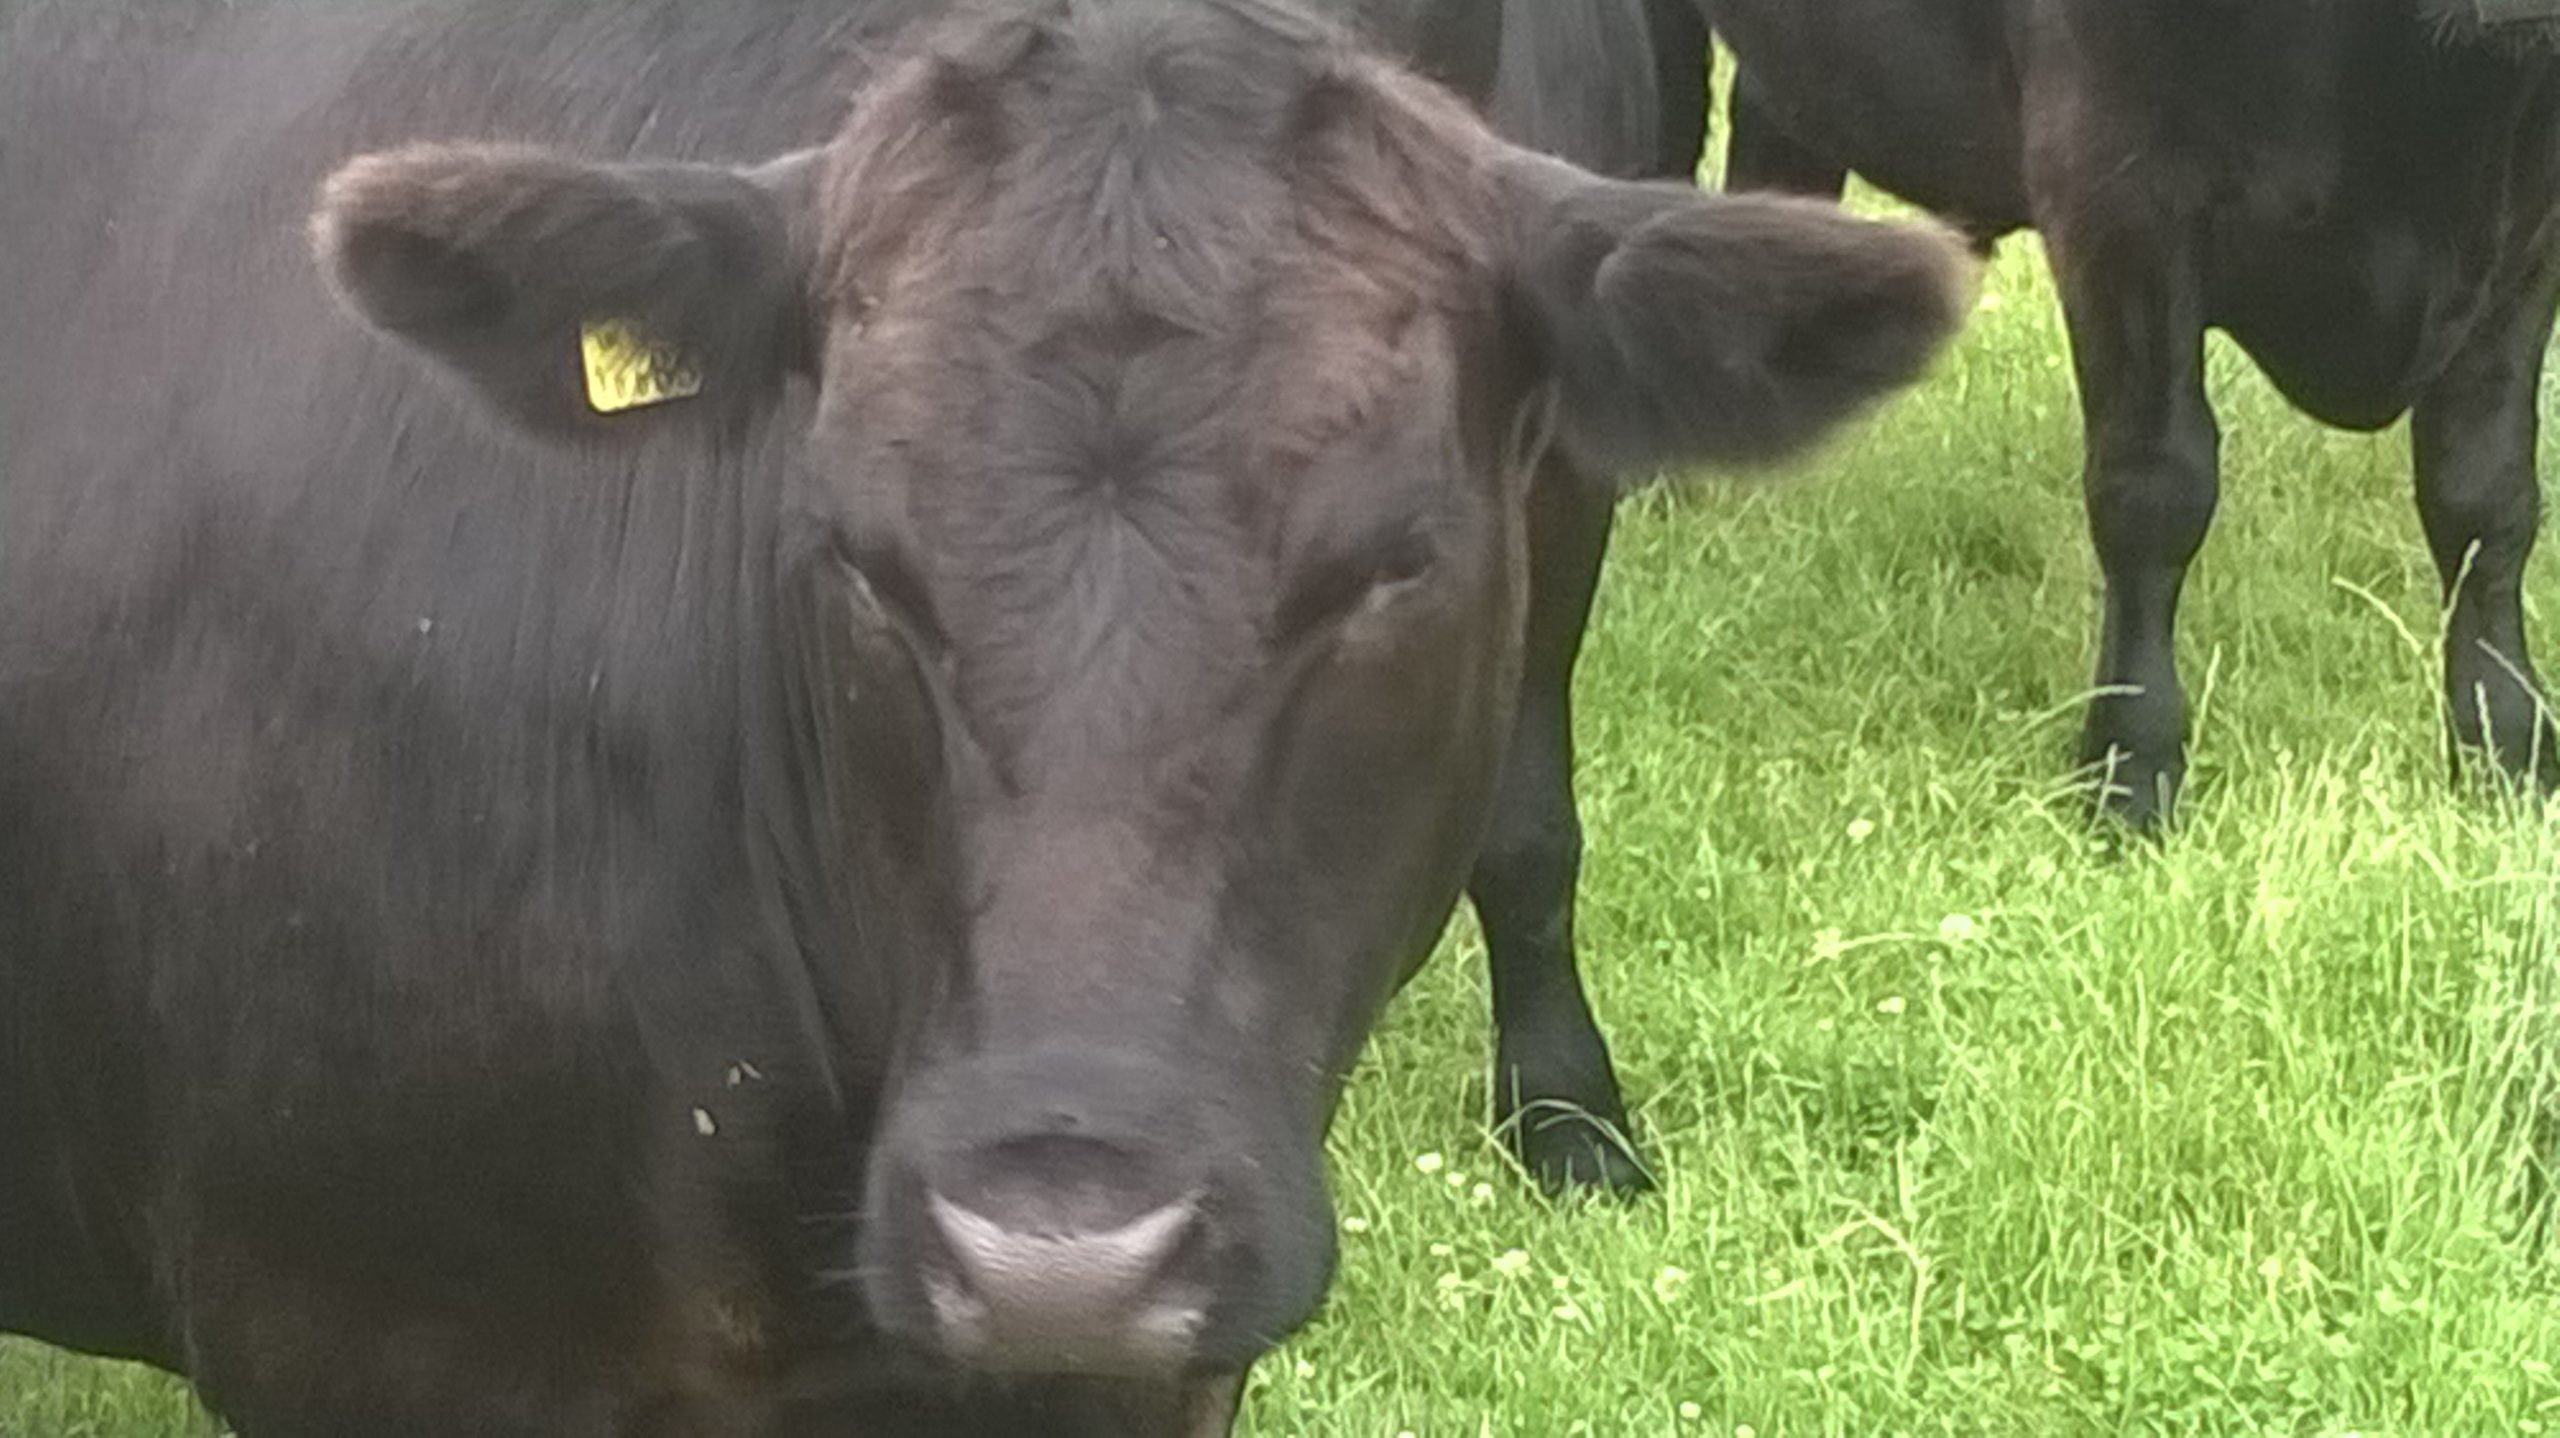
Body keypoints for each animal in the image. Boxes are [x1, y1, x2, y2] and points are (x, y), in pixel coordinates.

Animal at [1701, 0, 2560, 824]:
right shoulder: (2112, 181)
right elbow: (2156, 490)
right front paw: (2130, 770)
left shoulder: (2527, 226)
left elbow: (2483, 496)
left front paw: (2508, 750)